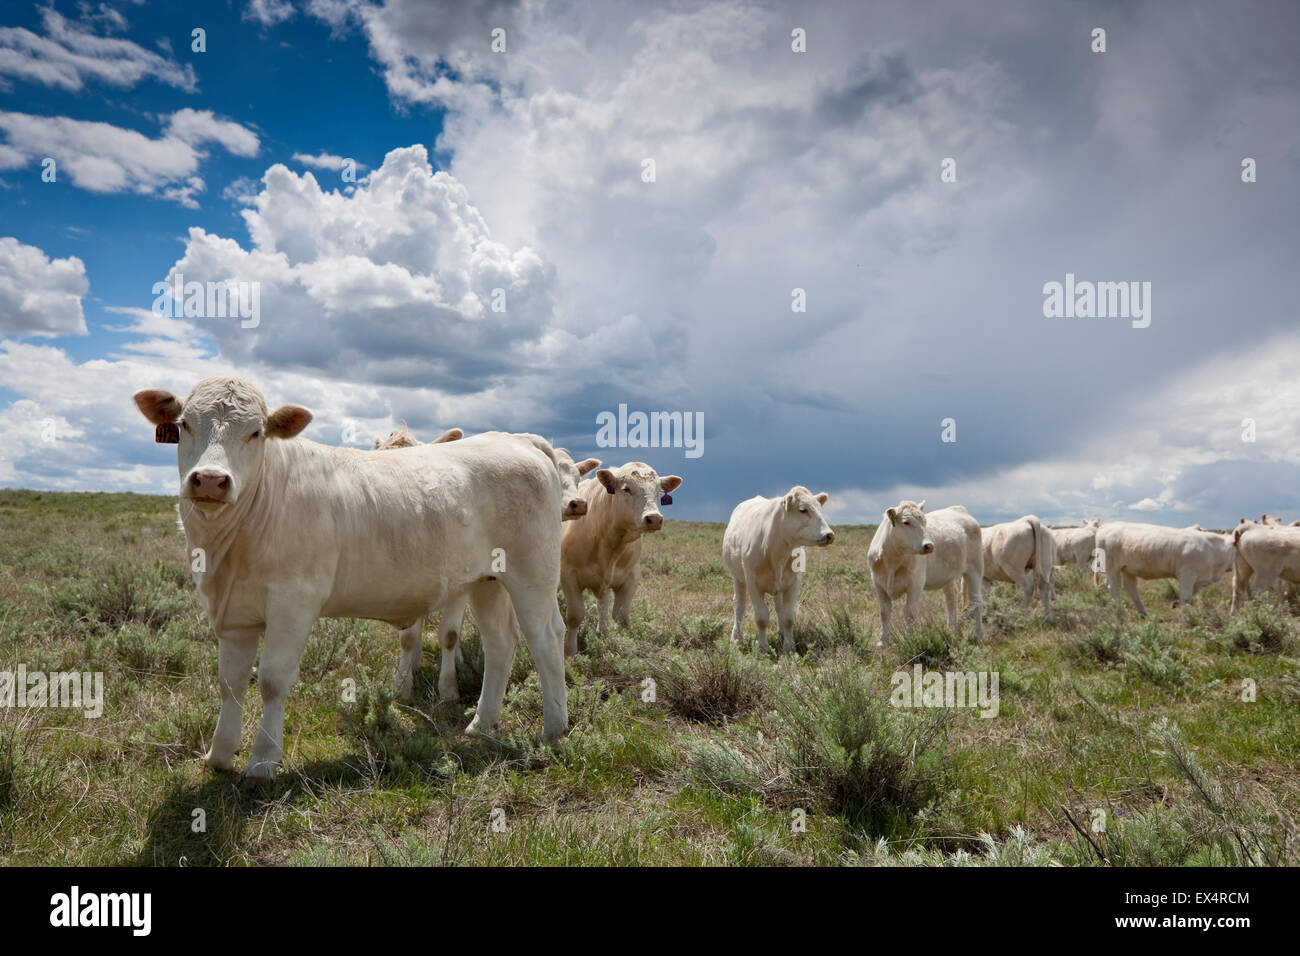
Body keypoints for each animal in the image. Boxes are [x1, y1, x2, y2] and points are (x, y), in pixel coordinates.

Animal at [134, 377, 569, 780]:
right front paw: (219, 755)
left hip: (534, 572)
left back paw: (554, 730)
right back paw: (481, 724)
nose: (210, 479)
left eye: (255, 432)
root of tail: (518, 439)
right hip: (486, 581)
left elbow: (272, 680)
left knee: (546, 638)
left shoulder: (293, 604)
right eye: (185, 424)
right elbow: (230, 682)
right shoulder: (234, 613)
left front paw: (262, 762)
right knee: (500, 643)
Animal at [560, 462, 682, 656]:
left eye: (658, 491)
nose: (654, 519)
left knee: (603, 603)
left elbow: (621, 616)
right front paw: (570, 651)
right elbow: (575, 616)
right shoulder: (568, 575)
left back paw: (602, 632)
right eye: (626, 489)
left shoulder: (631, 577)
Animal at [722, 487, 835, 656]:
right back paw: (737, 637)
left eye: (819, 509)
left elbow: (788, 617)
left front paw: (789, 647)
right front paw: (763, 649)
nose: (829, 535)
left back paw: (781, 634)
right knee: (739, 605)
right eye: (803, 509)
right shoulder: (752, 583)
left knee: (778, 607)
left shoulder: (794, 583)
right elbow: (761, 617)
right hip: (737, 577)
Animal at [867, 500, 984, 648]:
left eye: (924, 521)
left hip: (975, 570)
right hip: (948, 576)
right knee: (951, 600)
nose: (929, 546)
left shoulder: (915, 583)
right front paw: (883, 642)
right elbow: (884, 612)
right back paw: (951, 631)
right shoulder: (878, 583)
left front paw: (910, 640)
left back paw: (978, 635)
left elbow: (910, 613)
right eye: (906, 522)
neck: (892, 561)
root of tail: (960, 510)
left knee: (976, 601)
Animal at [1093, 521, 1234, 617]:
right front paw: (1184, 617)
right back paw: (1121, 612)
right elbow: (1186, 597)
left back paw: (1143, 613)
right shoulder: (1187, 574)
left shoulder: (1199, 579)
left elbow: (1190, 595)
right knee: (1114, 589)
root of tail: (1107, 526)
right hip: (1112, 568)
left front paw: (1176, 604)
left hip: (1127, 569)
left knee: (1131, 588)